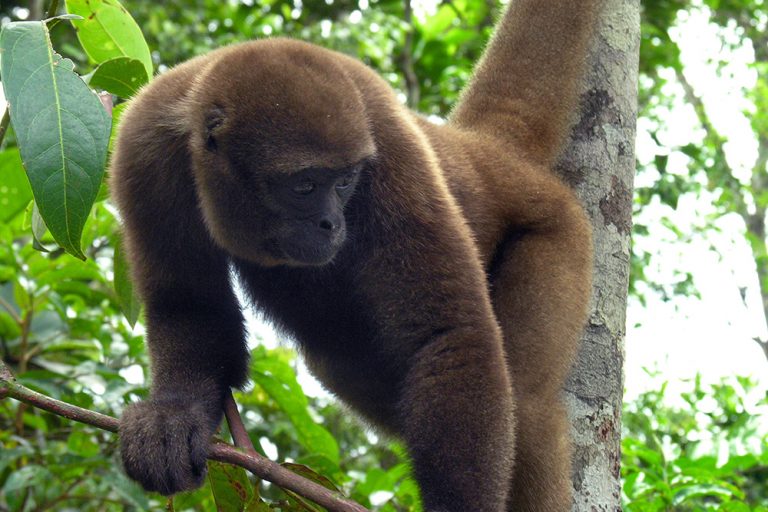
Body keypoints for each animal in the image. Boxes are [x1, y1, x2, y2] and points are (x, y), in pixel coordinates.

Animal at [110, 0, 598, 510]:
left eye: (345, 182)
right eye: (304, 186)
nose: (331, 224)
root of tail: (486, 149)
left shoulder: (387, 139)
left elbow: (451, 335)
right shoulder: (141, 146)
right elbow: (187, 303)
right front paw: (174, 415)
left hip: (558, 230)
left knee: (527, 404)